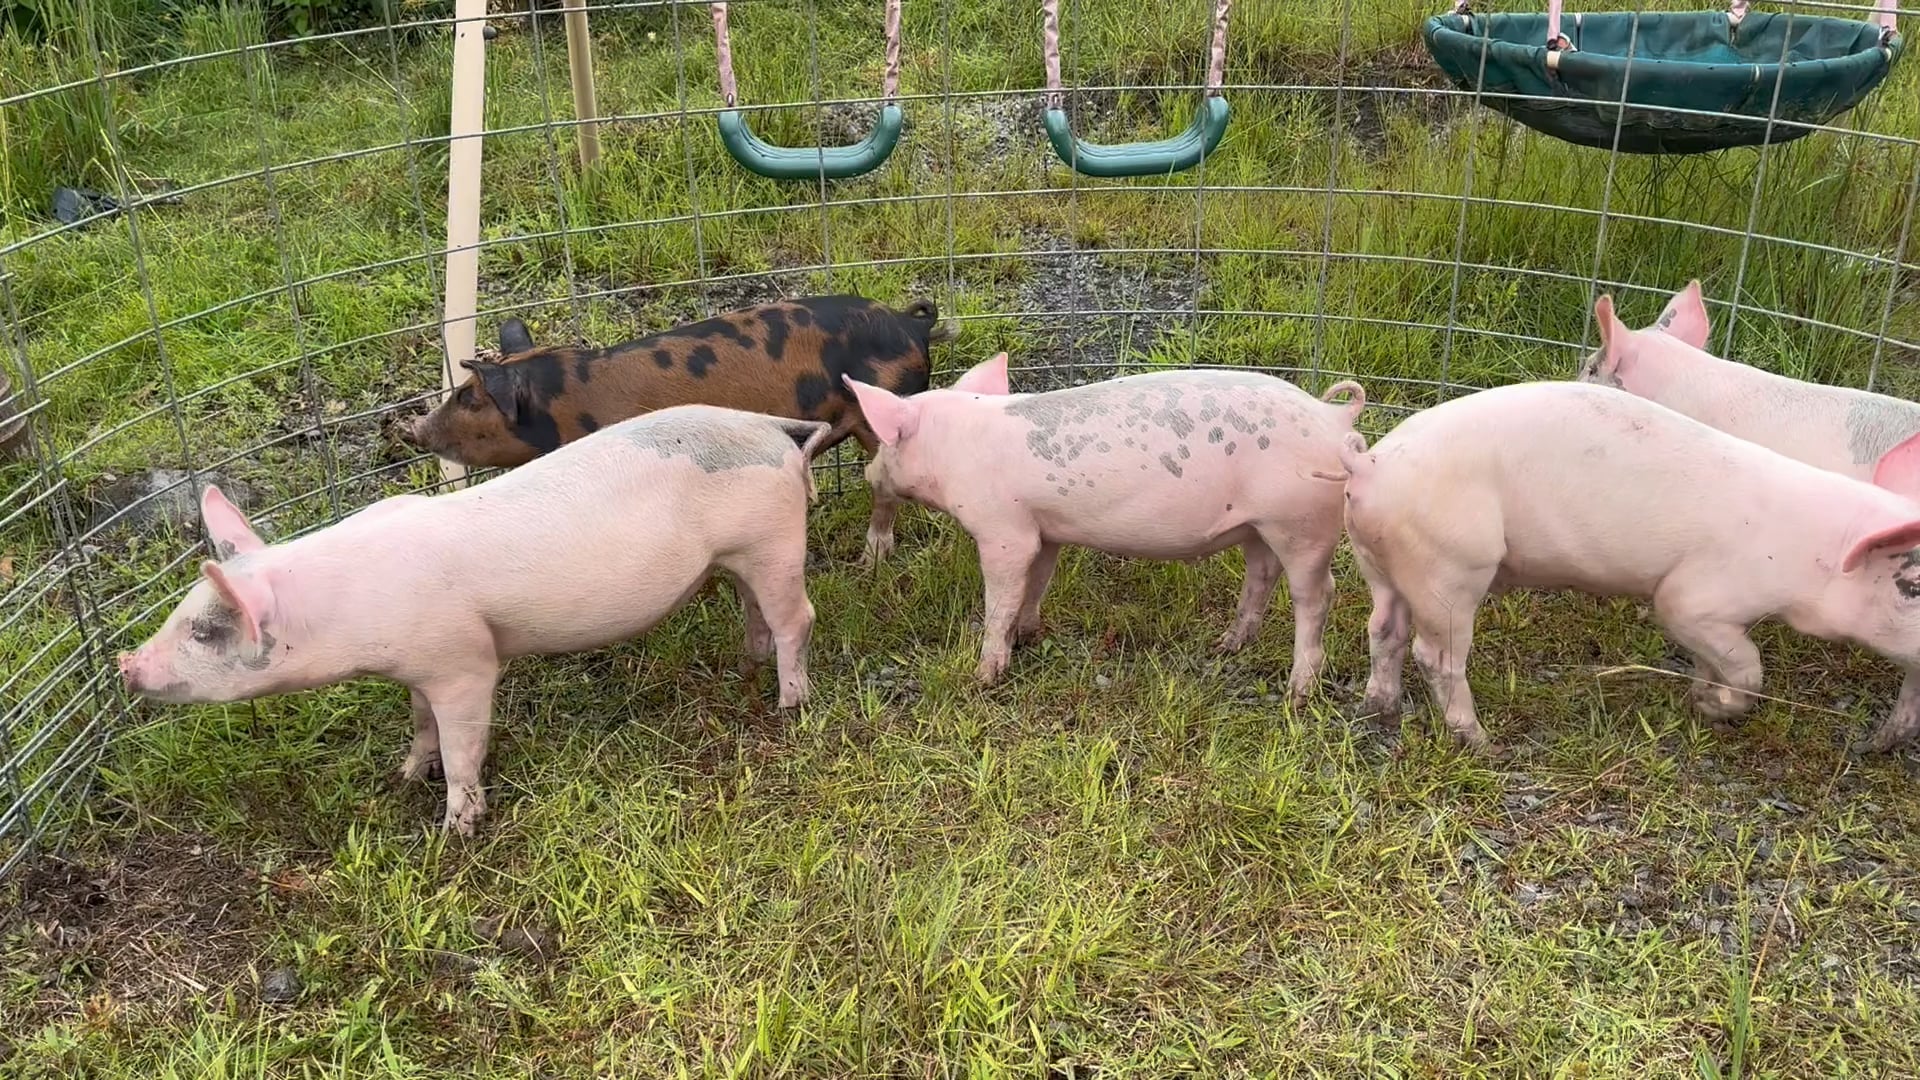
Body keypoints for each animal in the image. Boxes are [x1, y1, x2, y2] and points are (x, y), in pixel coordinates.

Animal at [119, 405, 827, 833]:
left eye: (204, 632)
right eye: (183, 614)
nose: (125, 664)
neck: (349, 610)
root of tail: (772, 430)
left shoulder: (463, 661)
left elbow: (464, 743)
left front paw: (457, 827)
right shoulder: (415, 668)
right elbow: (421, 725)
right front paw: (404, 776)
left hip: (774, 543)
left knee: (799, 617)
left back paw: (789, 704)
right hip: (740, 556)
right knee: (755, 610)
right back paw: (748, 665)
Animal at [843, 354, 1368, 699]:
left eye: (886, 443)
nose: (869, 474)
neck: (955, 445)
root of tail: (1336, 415)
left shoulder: (1004, 530)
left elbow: (1001, 599)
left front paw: (984, 674)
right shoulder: (1044, 530)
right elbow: (1036, 583)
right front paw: (1027, 636)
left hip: (1301, 524)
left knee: (1317, 594)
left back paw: (1298, 692)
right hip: (1259, 527)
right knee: (1261, 576)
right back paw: (1226, 646)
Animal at [1342, 305, 1920, 754]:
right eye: (1910, 587)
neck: (1815, 554)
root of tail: (1369, 465)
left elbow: (1717, 660)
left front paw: (1699, 698)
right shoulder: (1695, 597)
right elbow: (1745, 665)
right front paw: (1716, 707)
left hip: (1382, 558)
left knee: (1383, 629)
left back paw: (1380, 710)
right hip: (1449, 564)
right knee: (1435, 655)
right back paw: (1480, 740)